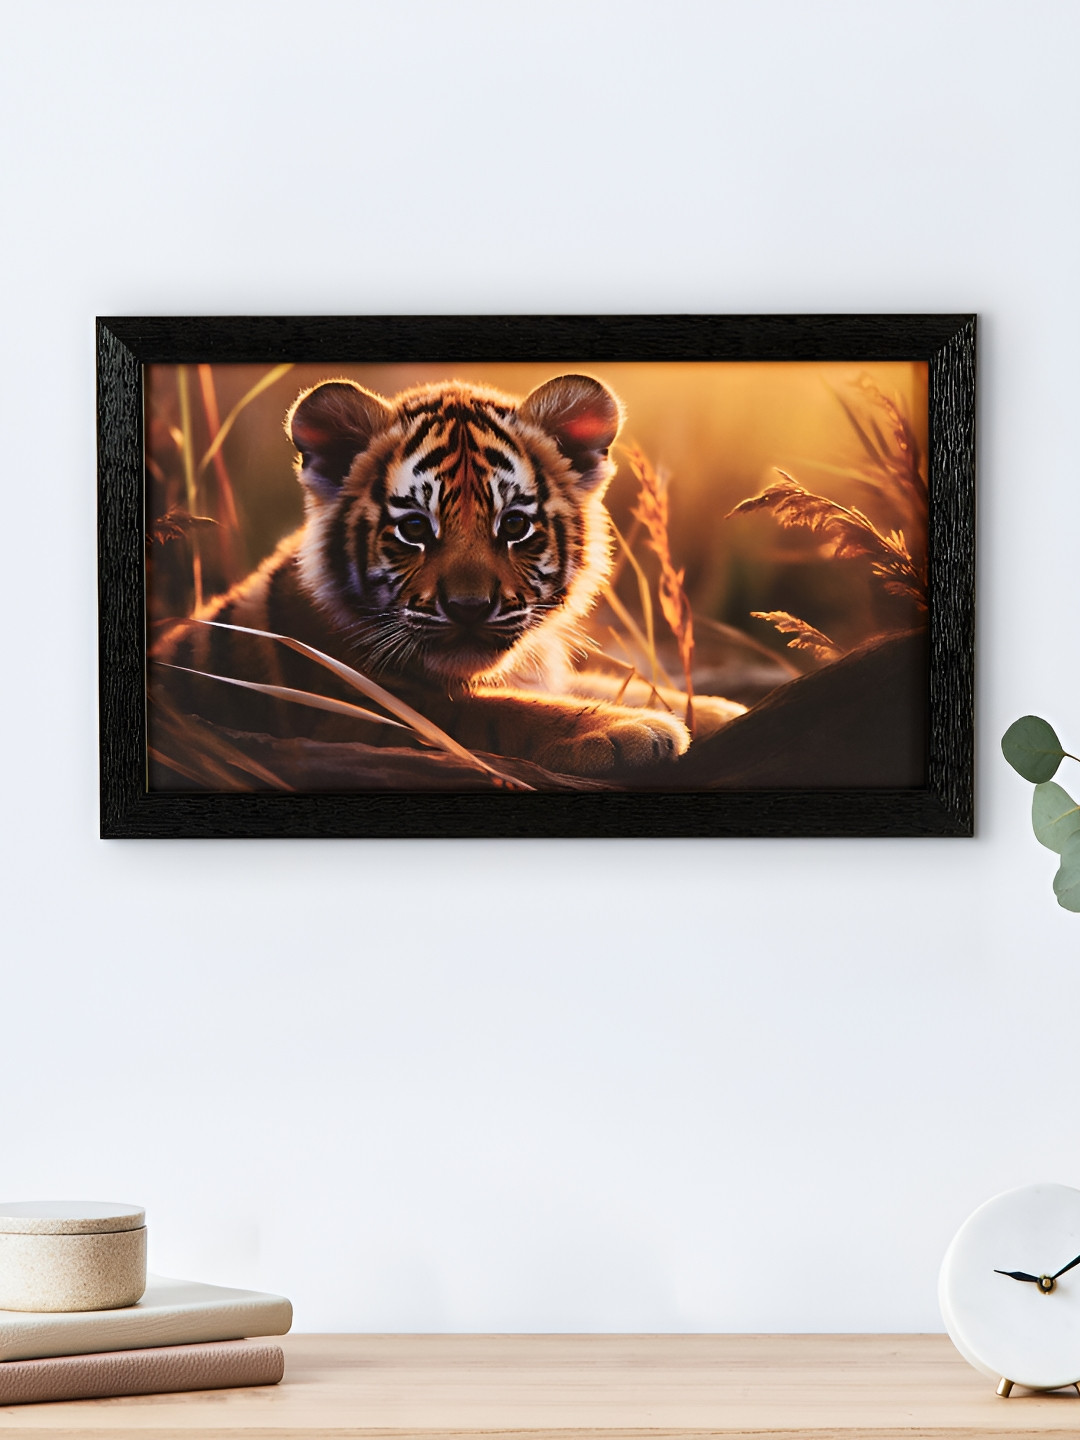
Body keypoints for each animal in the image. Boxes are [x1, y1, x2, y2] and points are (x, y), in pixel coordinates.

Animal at [152, 373, 744, 777]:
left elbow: (593, 682)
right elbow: (498, 714)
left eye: (515, 524)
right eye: (414, 527)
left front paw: (712, 709)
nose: (468, 608)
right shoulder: (356, 710)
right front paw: (630, 728)